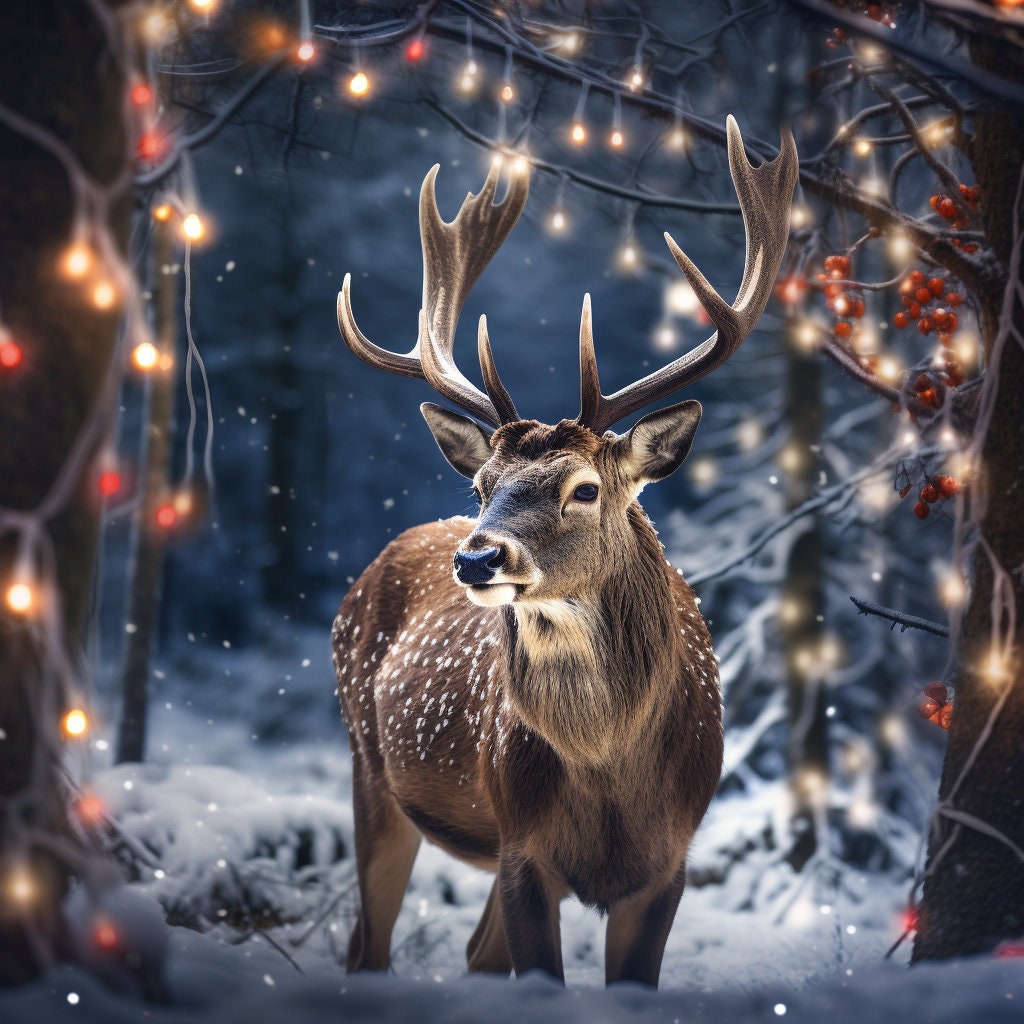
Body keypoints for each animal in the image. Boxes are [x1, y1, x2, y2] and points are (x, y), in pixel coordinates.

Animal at [331, 116, 797, 987]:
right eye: (481, 482)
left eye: (583, 488)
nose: (477, 559)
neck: (611, 774)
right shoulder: (523, 848)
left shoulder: (669, 865)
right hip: (369, 763)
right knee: (367, 946)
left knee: (472, 955)